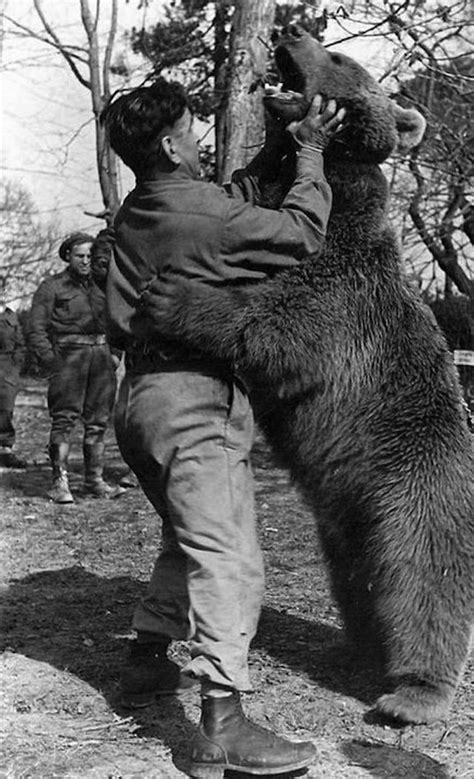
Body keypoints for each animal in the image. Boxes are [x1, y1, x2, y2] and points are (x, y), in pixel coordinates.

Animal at [137, 25, 474, 725]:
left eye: (339, 55)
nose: (292, 32)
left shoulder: (336, 281)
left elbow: (279, 326)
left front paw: (174, 296)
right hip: (346, 519)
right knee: (360, 580)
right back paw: (362, 649)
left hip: (415, 482)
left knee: (424, 578)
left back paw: (411, 694)